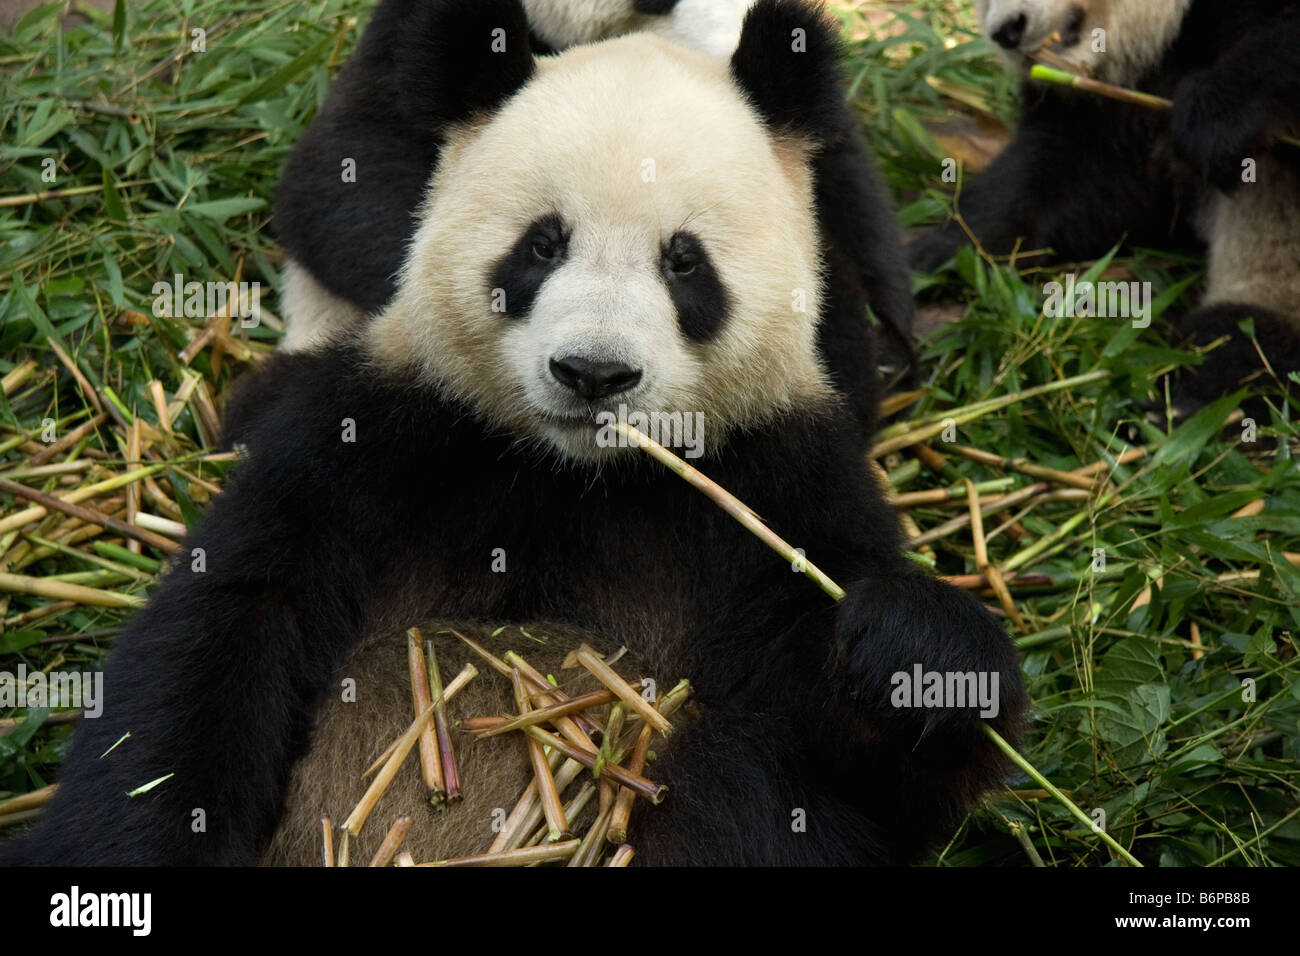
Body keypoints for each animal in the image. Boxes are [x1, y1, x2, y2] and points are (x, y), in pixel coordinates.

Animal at [1, 0, 1024, 867]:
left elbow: (860, 773)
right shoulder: (383, 436)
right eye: (542, 243)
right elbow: (215, 649)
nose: (595, 375)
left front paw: (916, 651)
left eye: (684, 262)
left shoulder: (776, 479)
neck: (575, 477)